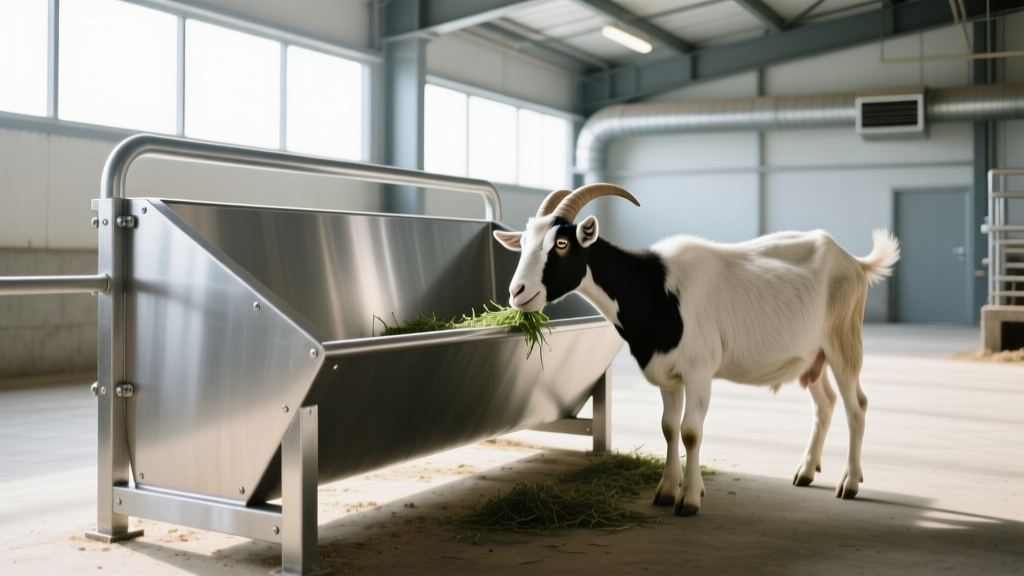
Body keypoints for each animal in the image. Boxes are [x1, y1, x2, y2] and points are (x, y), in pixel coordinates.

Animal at [493, 183, 900, 516]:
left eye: (561, 244)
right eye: (524, 243)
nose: (517, 292)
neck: (654, 290)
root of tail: (855, 262)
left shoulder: (699, 370)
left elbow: (691, 431)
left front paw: (688, 499)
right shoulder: (667, 373)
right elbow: (669, 428)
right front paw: (665, 491)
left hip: (843, 341)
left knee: (856, 406)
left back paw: (849, 483)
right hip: (810, 356)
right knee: (825, 403)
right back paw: (805, 472)